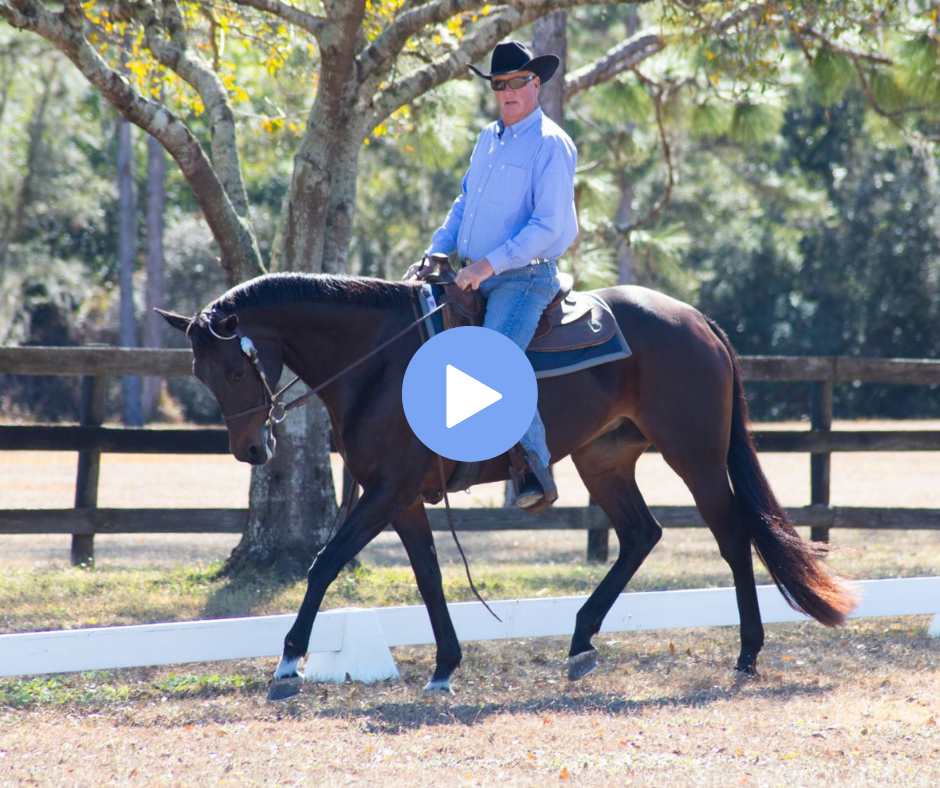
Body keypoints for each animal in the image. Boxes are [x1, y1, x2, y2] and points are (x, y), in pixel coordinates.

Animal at [157, 272, 856, 701]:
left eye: (231, 368)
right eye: (201, 372)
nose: (252, 449)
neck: (379, 360)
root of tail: (696, 319)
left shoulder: (384, 492)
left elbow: (324, 564)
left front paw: (287, 665)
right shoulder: (402, 497)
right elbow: (429, 576)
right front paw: (444, 667)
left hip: (697, 457)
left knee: (733, 538)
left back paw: (747, 654)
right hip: (605, 460)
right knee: (640, 535)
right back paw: (580, 643)